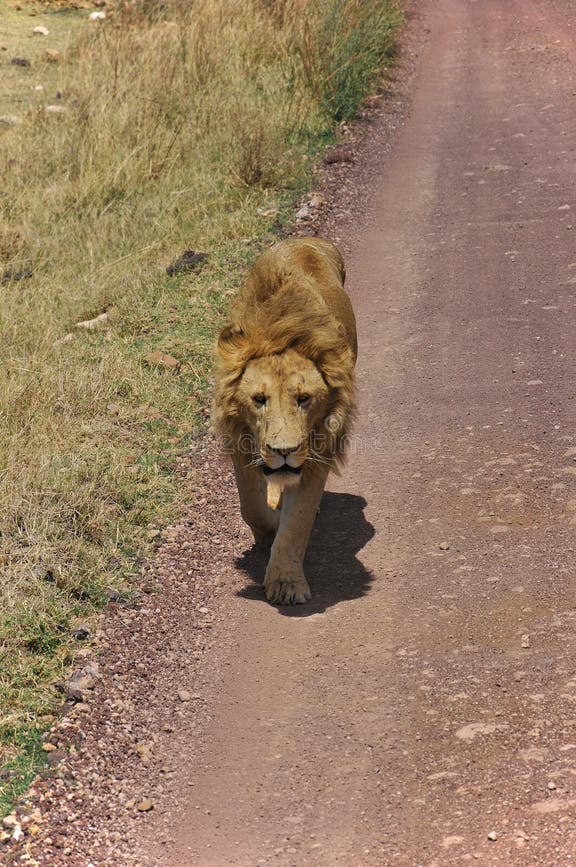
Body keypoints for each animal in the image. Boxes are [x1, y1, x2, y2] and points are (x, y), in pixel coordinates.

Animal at [213, 237, 357, 605]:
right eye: (258, 399)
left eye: (304, 399)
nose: (284, 451)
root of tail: (305, 240)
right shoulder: (241, 441)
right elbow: (251, 507)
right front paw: (270, 525)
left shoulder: (319, 450)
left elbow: (298, 523)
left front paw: (286, 583)